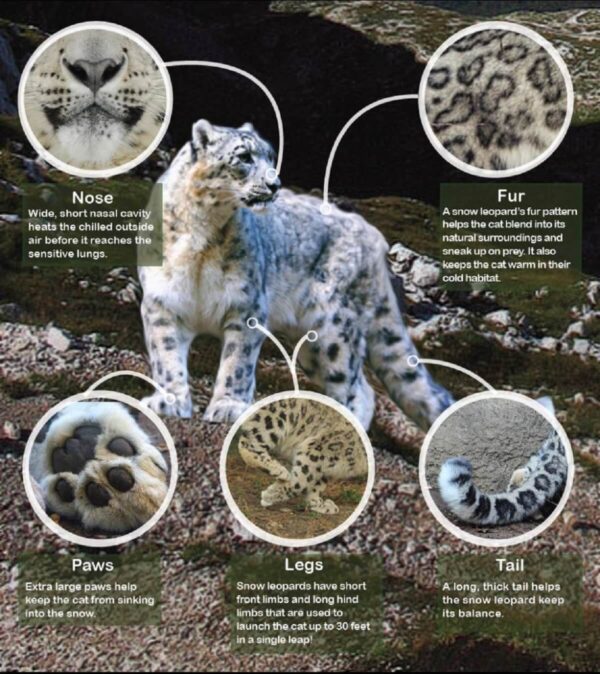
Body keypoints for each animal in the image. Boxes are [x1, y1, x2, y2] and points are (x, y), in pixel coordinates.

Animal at [138, 119, 454, 431]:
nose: (274, 184)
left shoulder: (246, 306)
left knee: (356, 388)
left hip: (332, 326)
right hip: (311, 343)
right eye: (245, 156)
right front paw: (169, 402)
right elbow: (166, 356)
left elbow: (237, 363)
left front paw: (228, 406)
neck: (201, 233)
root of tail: (372, 234)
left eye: (270, 156)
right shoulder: (162, 303)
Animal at [236, 397, 367, 515]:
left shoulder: (324, 466)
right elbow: (300, 482)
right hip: (275, 419)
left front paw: (320, 504)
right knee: (246, 444)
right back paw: (279, 470)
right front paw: (269, 495)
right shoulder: (316, 451)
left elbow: (315, 485)